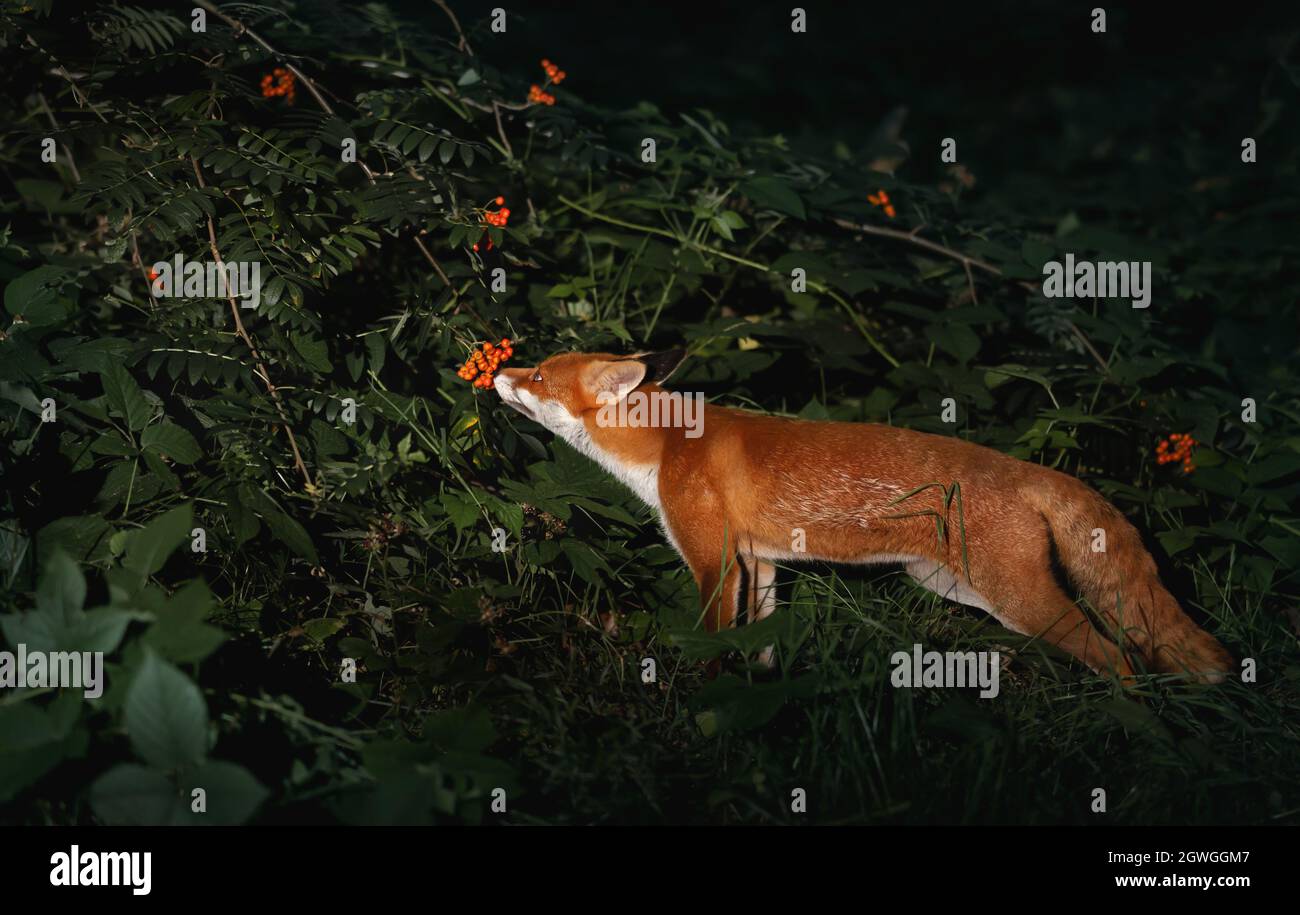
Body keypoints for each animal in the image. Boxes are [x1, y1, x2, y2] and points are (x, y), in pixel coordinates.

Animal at [492, 348, 1234, 684]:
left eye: (539, 376)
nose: (495, 369)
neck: (666, 445)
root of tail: (1030, 469)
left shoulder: (713, 561)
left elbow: (710, 643)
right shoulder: (758, 562)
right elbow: (760, 643)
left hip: (1020, 598)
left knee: (1119, 658)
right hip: (953, 587)